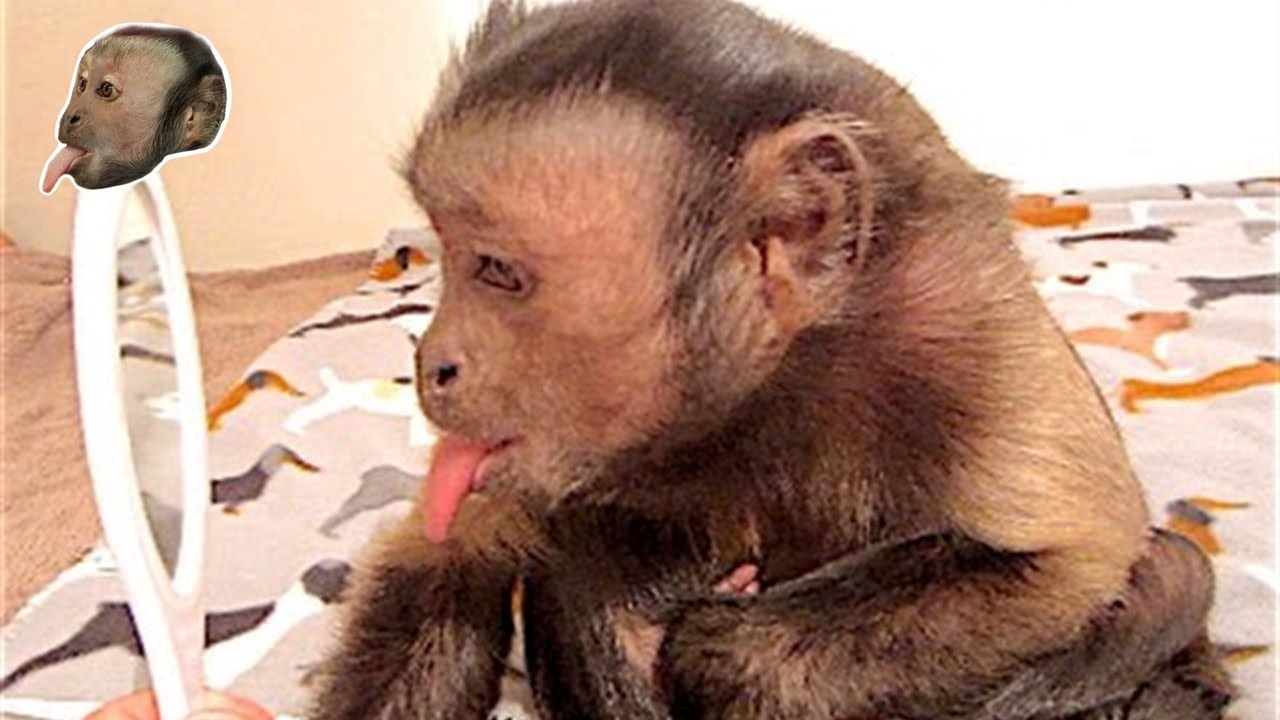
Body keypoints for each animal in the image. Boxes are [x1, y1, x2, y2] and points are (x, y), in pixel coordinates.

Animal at [311, 1, 1232, 718]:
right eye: (443, 255)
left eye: (496, 272)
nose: (432, 362)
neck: (760, 394)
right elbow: (438, 556)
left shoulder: (965, 333)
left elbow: (1074, 563)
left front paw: (705, 644)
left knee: (1171, 572)